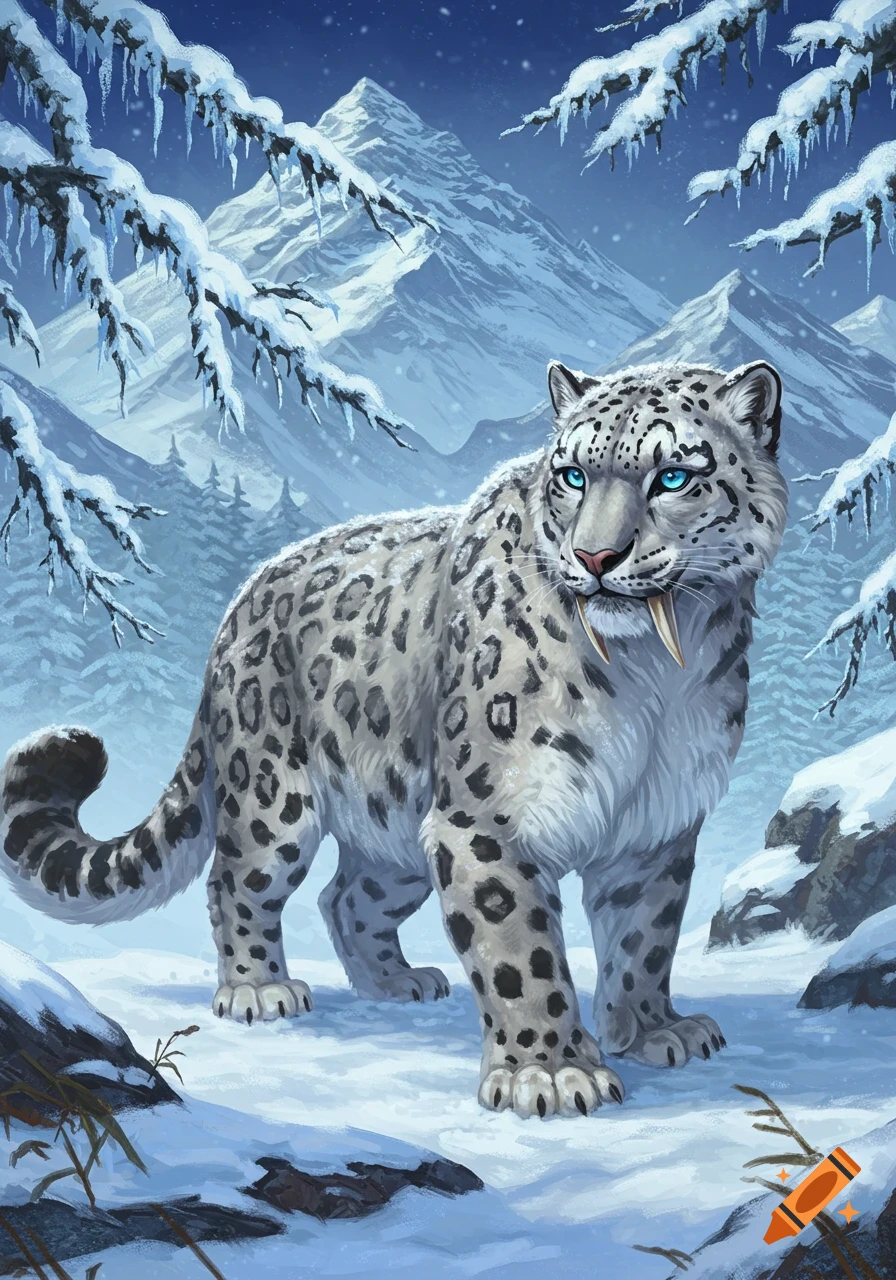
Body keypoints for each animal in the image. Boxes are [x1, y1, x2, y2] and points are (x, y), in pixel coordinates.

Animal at [0, 358, 788, 1120]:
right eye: (571, 475)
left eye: (673, 476)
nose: (595, 557)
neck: (655, 671)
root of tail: (241, 604)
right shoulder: (486, 820)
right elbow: (522, 952)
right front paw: (549, 1071)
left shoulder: (657, 822)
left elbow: (644, 938)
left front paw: (651, 1029)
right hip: (273, 795)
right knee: (238, 881)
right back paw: (259, 990)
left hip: (398, 822)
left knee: (346, 898)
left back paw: (395, 980)